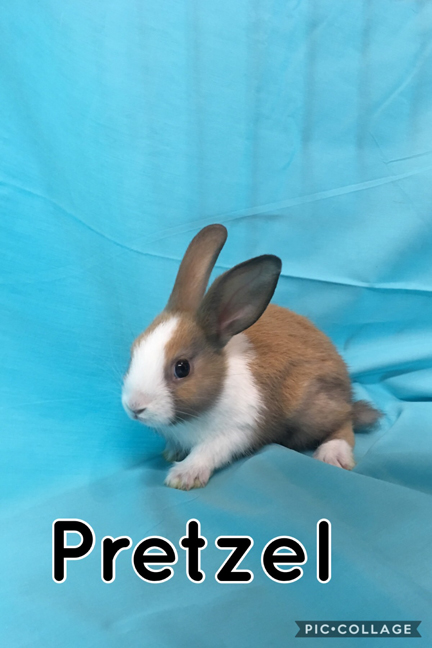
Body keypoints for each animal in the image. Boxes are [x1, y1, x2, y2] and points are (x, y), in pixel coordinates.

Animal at [122, 224, 381, 490]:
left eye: (182, 368)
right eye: (133, 353)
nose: (134, 407)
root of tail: (346, 390)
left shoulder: (237, 430)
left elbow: (208, 452)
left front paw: (183, 476)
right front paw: (172, 453)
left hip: (314, 408)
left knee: (344, 422)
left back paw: (332, 455)